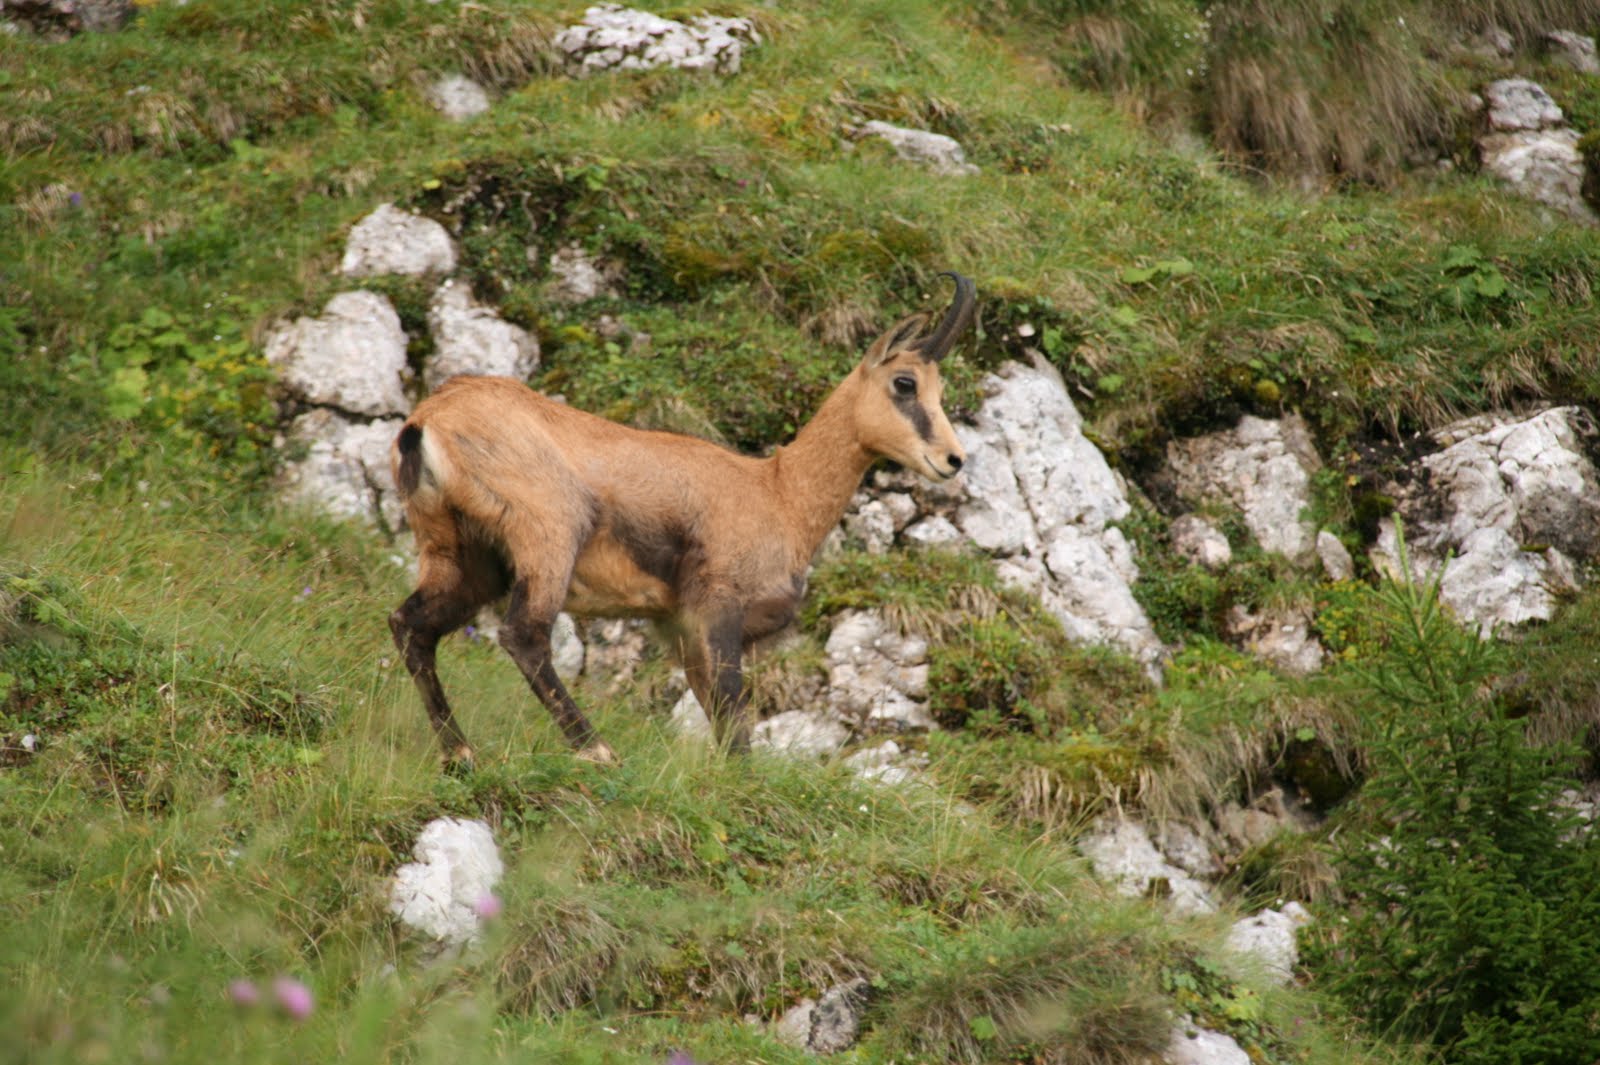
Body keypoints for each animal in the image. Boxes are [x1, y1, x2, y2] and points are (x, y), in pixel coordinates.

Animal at [388, 272, 976, 767]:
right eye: (905, 383)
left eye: (940, 391)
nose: (953, 460)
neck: (779, 492)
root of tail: (428, 421)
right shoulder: (718, 607)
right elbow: (735, 718)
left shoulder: (680, 628)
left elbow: (719, 715)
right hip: (548, 539)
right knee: (522, 635)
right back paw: (597, 750)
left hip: (462, 556)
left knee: (411, 625)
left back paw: (460, 753)